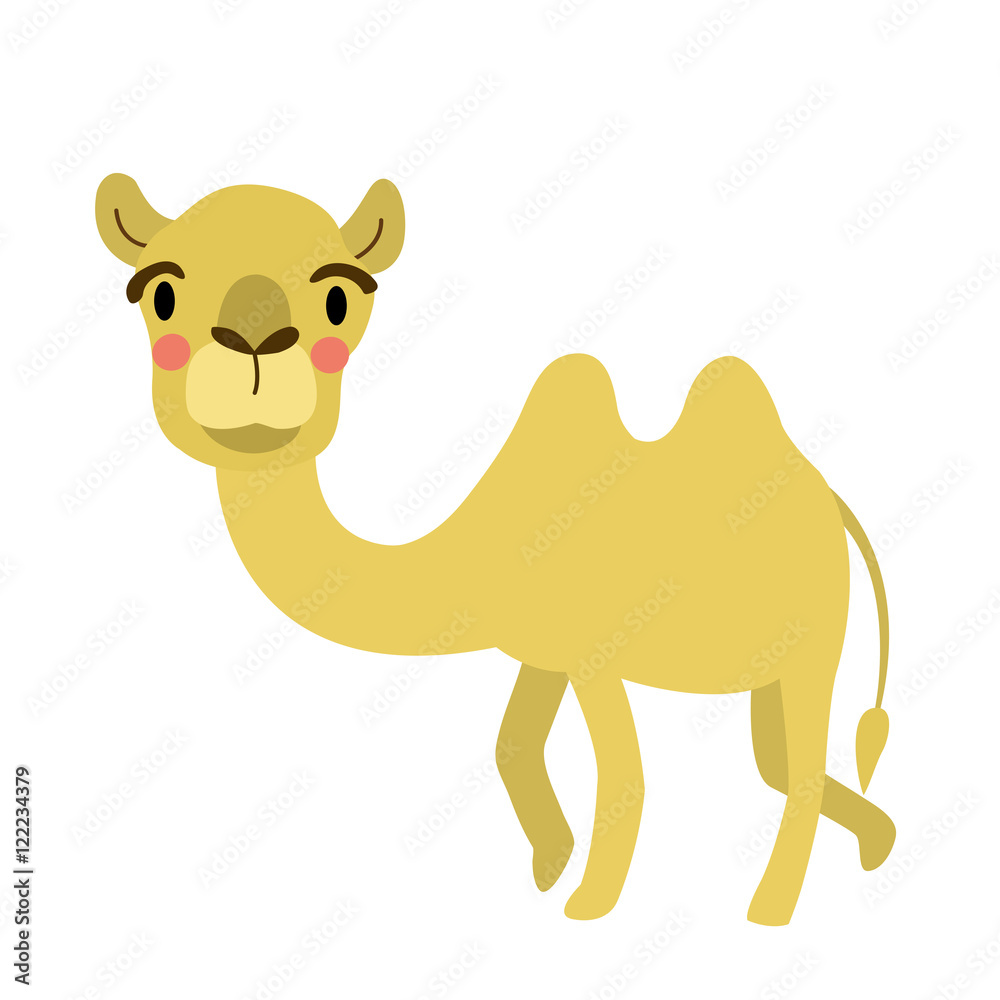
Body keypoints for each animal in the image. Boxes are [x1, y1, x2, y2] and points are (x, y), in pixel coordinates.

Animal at [95, 173, 896, 925]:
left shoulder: (595, 652)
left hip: (817, 642)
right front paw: (550, 864)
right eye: (158, 291)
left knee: (797, 766)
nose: (255, 347)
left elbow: (625, 776)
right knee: (780, 761)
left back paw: (771, 910)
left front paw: (588, 904)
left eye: (341, 297)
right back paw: (874, 845)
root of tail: (831, 500)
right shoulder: (540, 648)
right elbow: (513, 744)